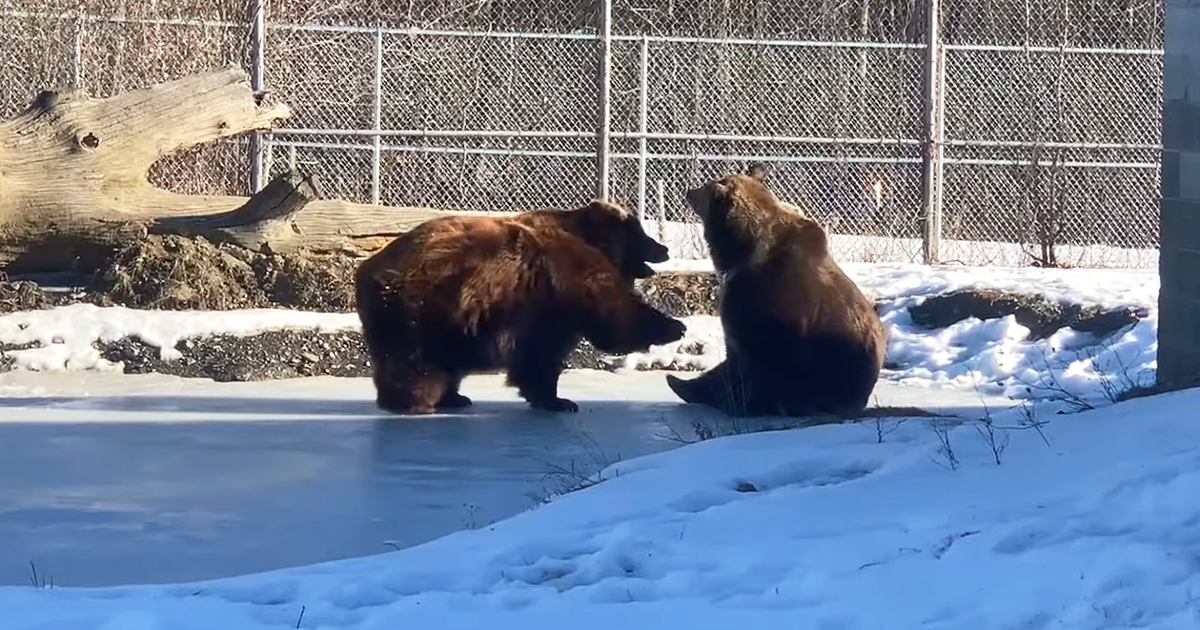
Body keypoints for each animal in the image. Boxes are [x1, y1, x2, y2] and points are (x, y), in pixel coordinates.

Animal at [355, 199, 685, 415]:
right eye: (640, 233)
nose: (664, 248)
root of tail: (367, 268)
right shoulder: (559, 284)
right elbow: (606, 319)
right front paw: (559, 401)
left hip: (449, 322)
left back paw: (453, 397)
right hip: (423, 307)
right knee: (415, 359)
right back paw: (414, 402)